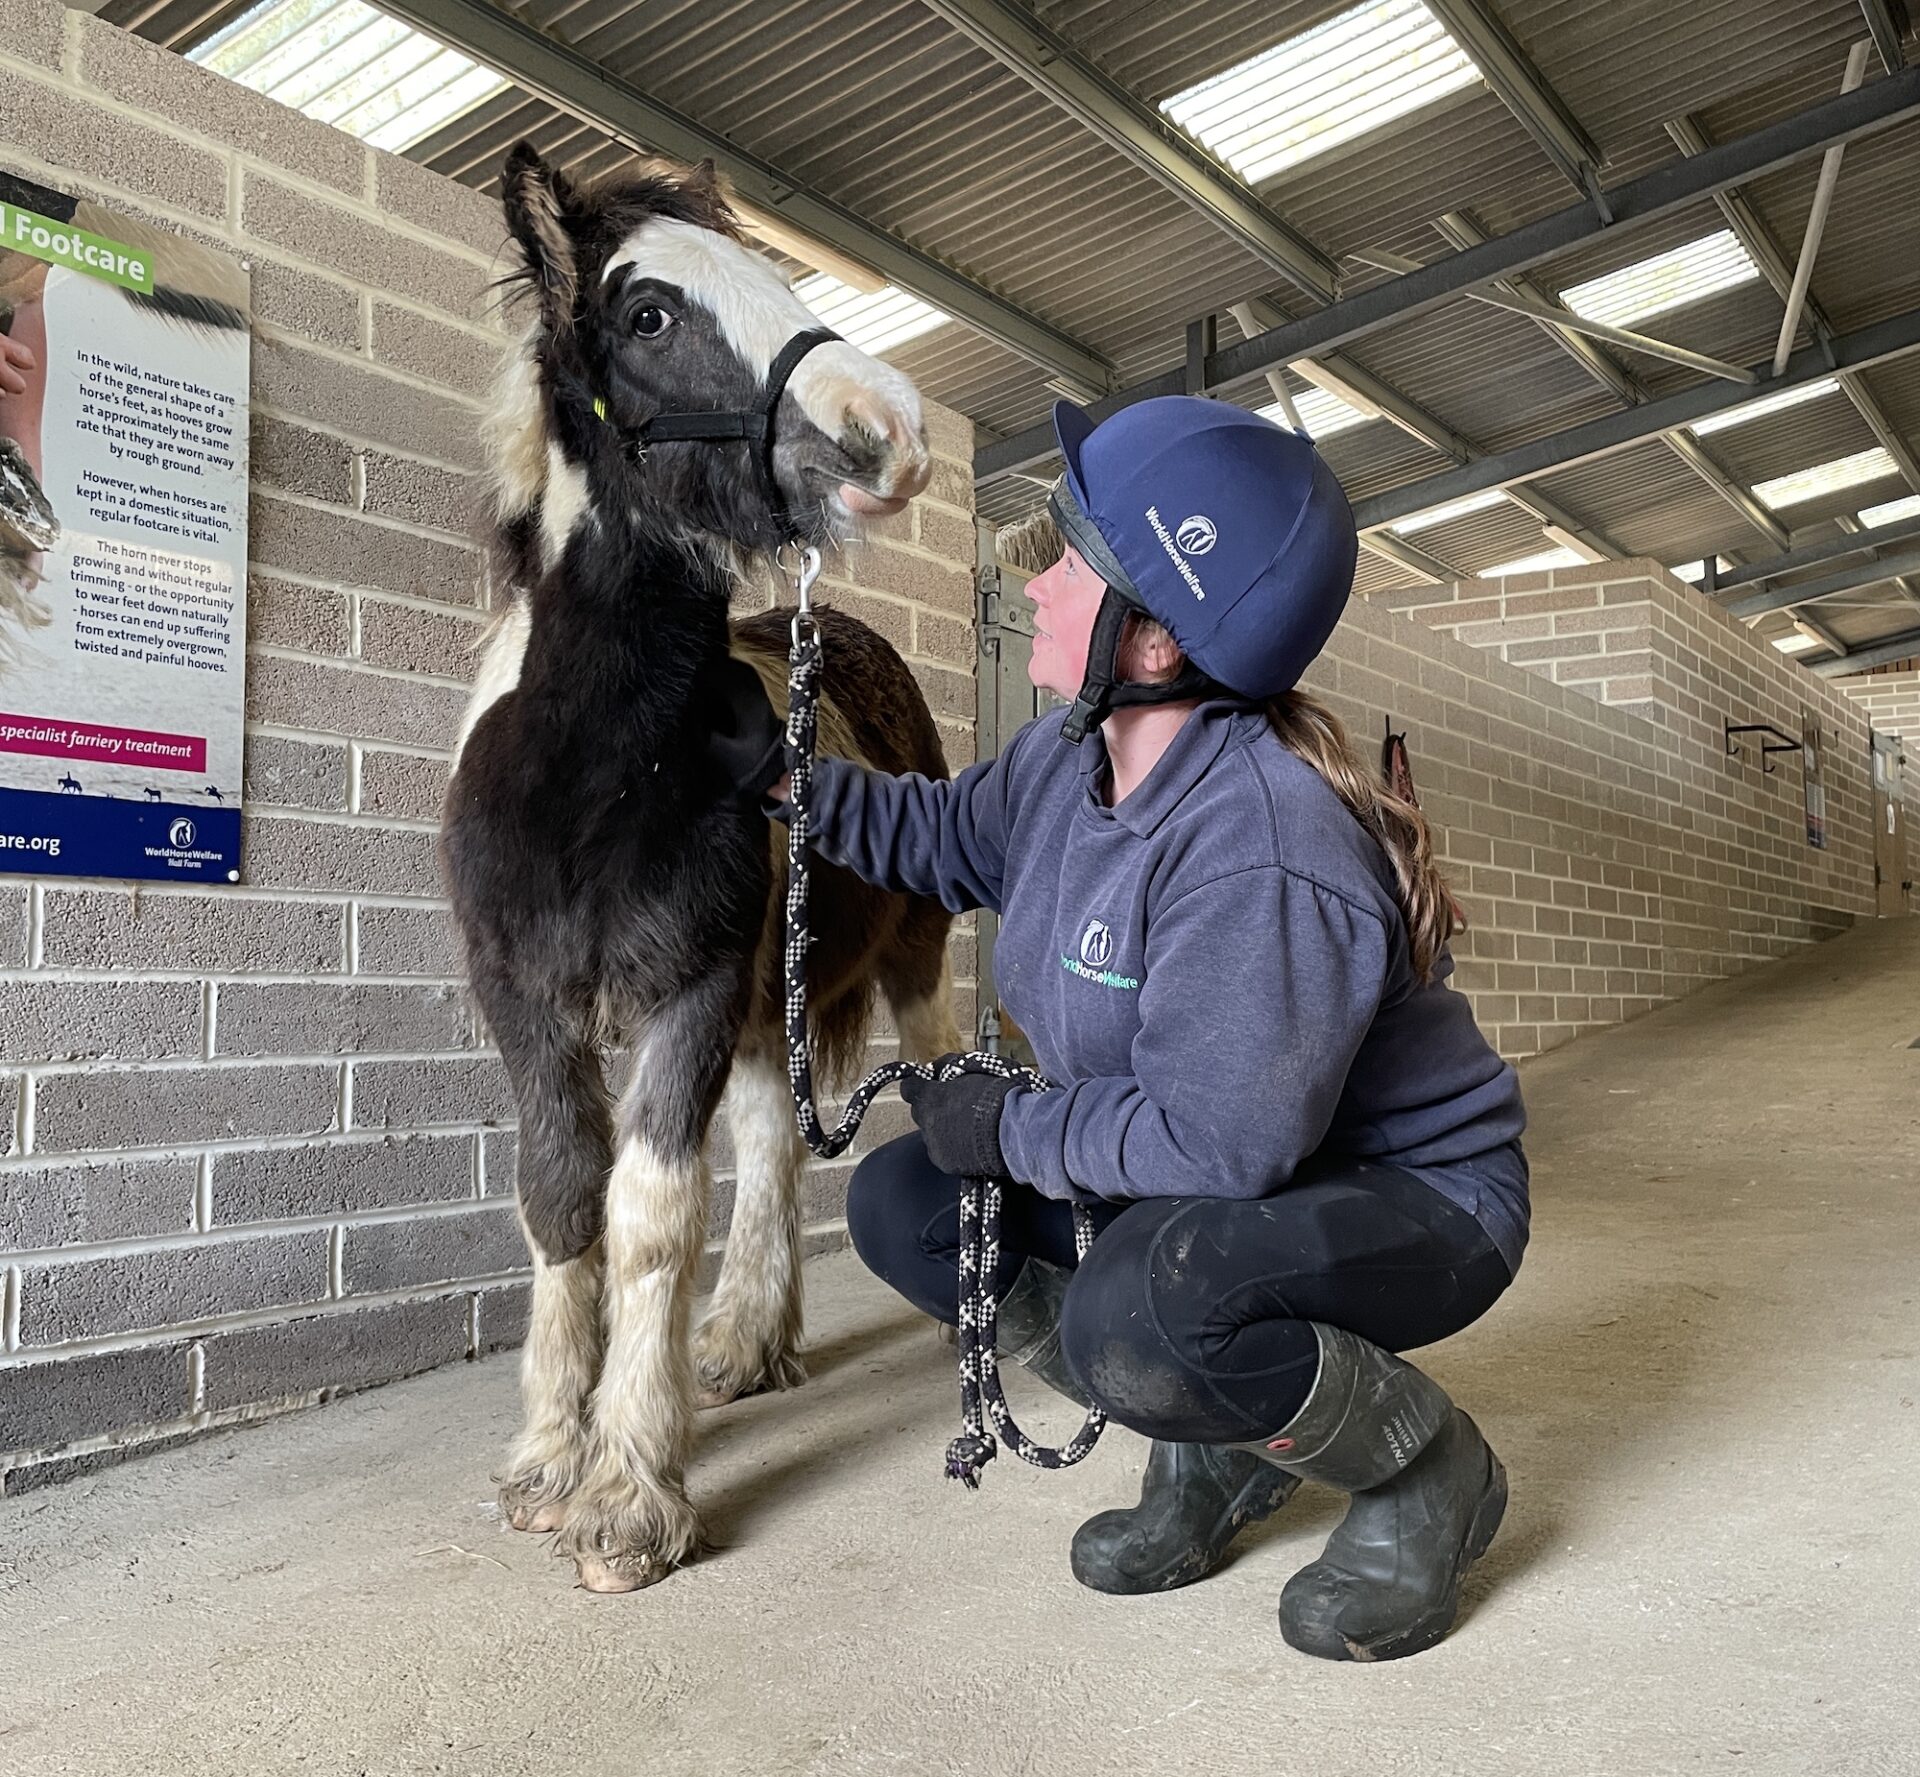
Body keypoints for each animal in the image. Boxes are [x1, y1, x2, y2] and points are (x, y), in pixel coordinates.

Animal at [442, 144, 961, 1592]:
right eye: (650, 314)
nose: (890, 433)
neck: (587, 776)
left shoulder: (688, 987)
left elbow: (654, 1216)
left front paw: (629, 1496)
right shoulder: (525, 999)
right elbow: (562, 1195)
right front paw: (547, 1460)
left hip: (901, 968)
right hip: (760, 1008)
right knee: (776, 1140)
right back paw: (742, 1343)